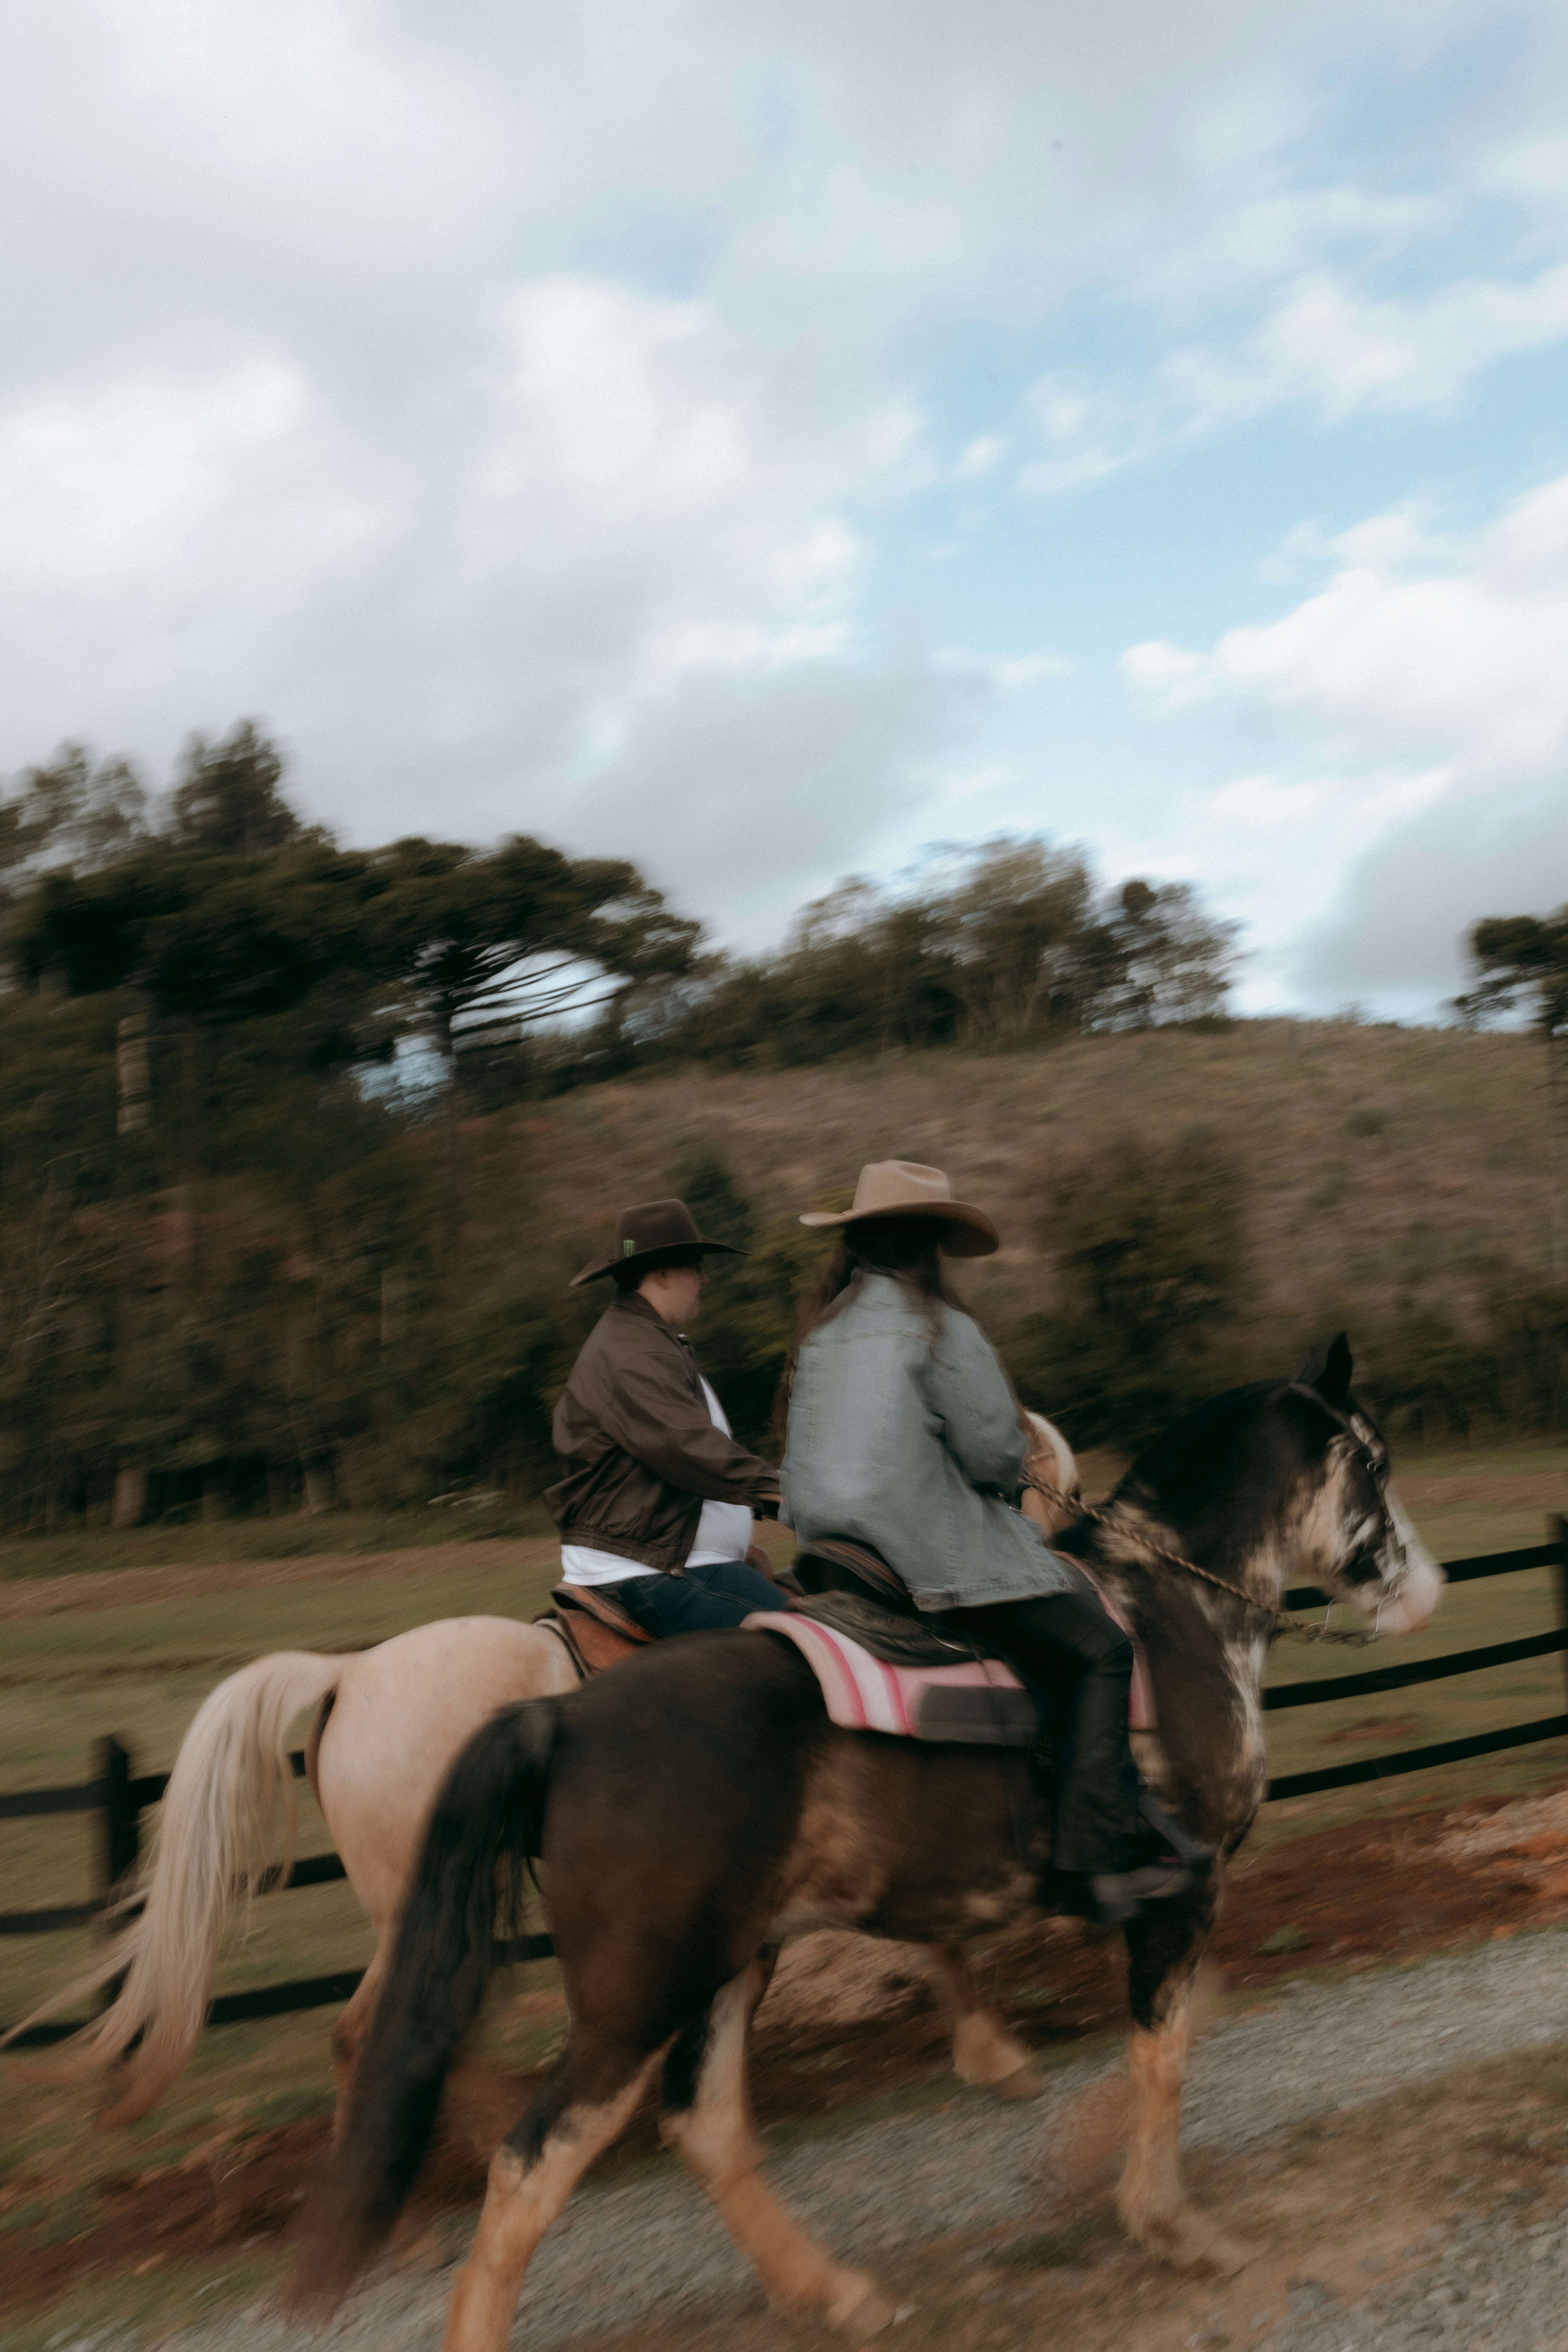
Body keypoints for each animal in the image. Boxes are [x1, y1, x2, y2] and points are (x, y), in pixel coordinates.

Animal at [5, 1416, 1081, 2132]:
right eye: (1037, 1470)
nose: (1070, 1531)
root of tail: (350, 1675)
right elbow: (933, 1936)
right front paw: (996, 2053)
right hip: (417, 1901)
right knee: (374, 2034)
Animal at [282, 1338, 1443, 2348]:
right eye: (1374, 1461)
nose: (1426, 1592)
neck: (1170, 1618)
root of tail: (563, 1718)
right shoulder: (1184, 1887)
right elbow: (1167, 2046)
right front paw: (1165, 2219)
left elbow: (1164, 2019)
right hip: (636, 1994)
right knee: (527, 2160)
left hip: (727, 1964)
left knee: (698, 2123)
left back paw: (834, 2292)